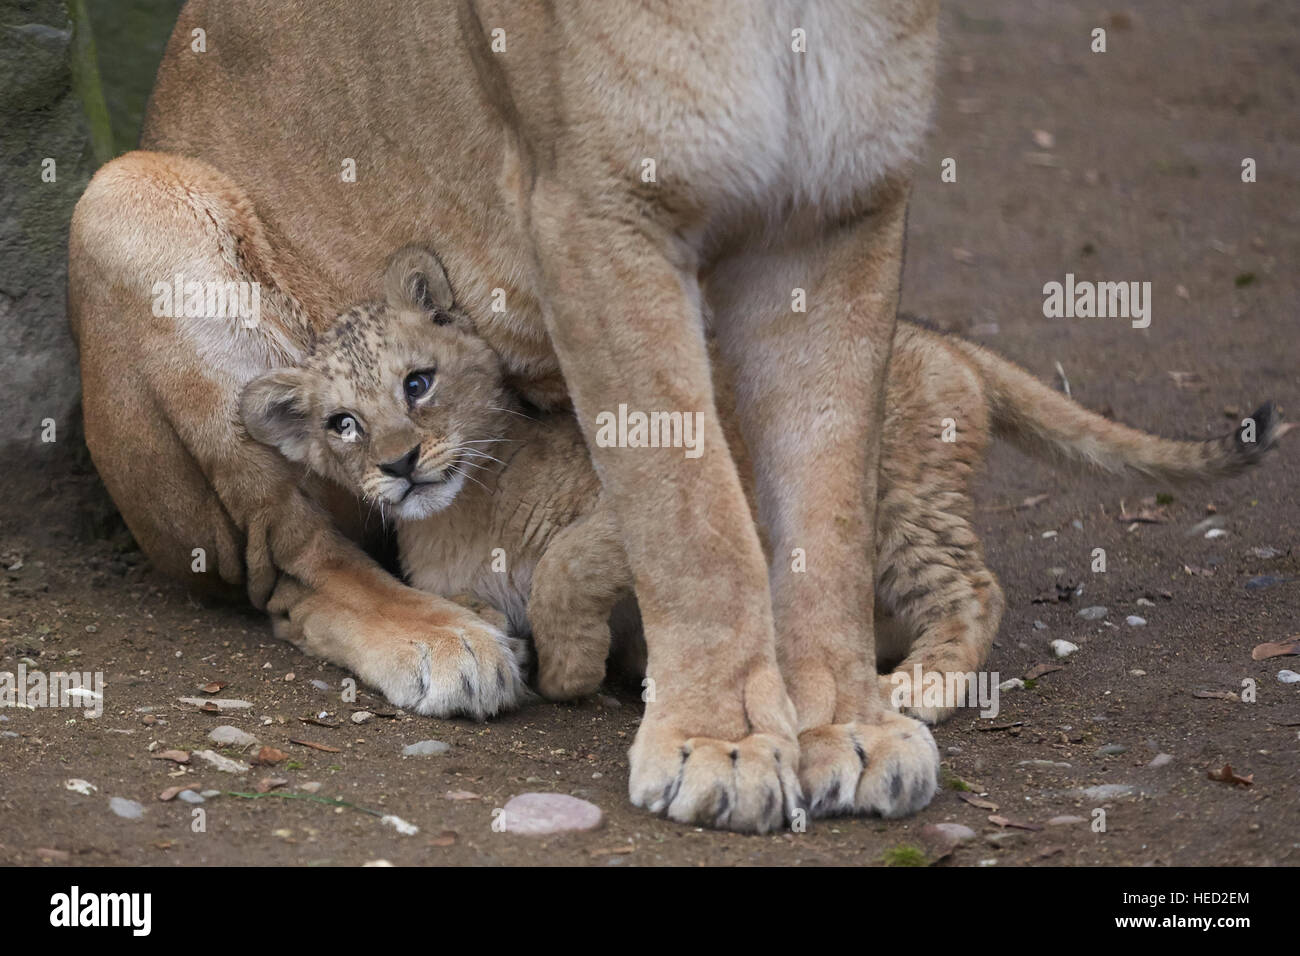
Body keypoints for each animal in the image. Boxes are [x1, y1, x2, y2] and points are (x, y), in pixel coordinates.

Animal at [242, 247, 1284, 742]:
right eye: (342, 425)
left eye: (418, 383)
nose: (399, 464)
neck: (468, 504)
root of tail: (945, 342)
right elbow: (461, 615)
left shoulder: (660, 499)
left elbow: (570, 562)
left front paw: (573, 669)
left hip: (887, 507)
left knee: (973, 591)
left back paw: (917, 687)